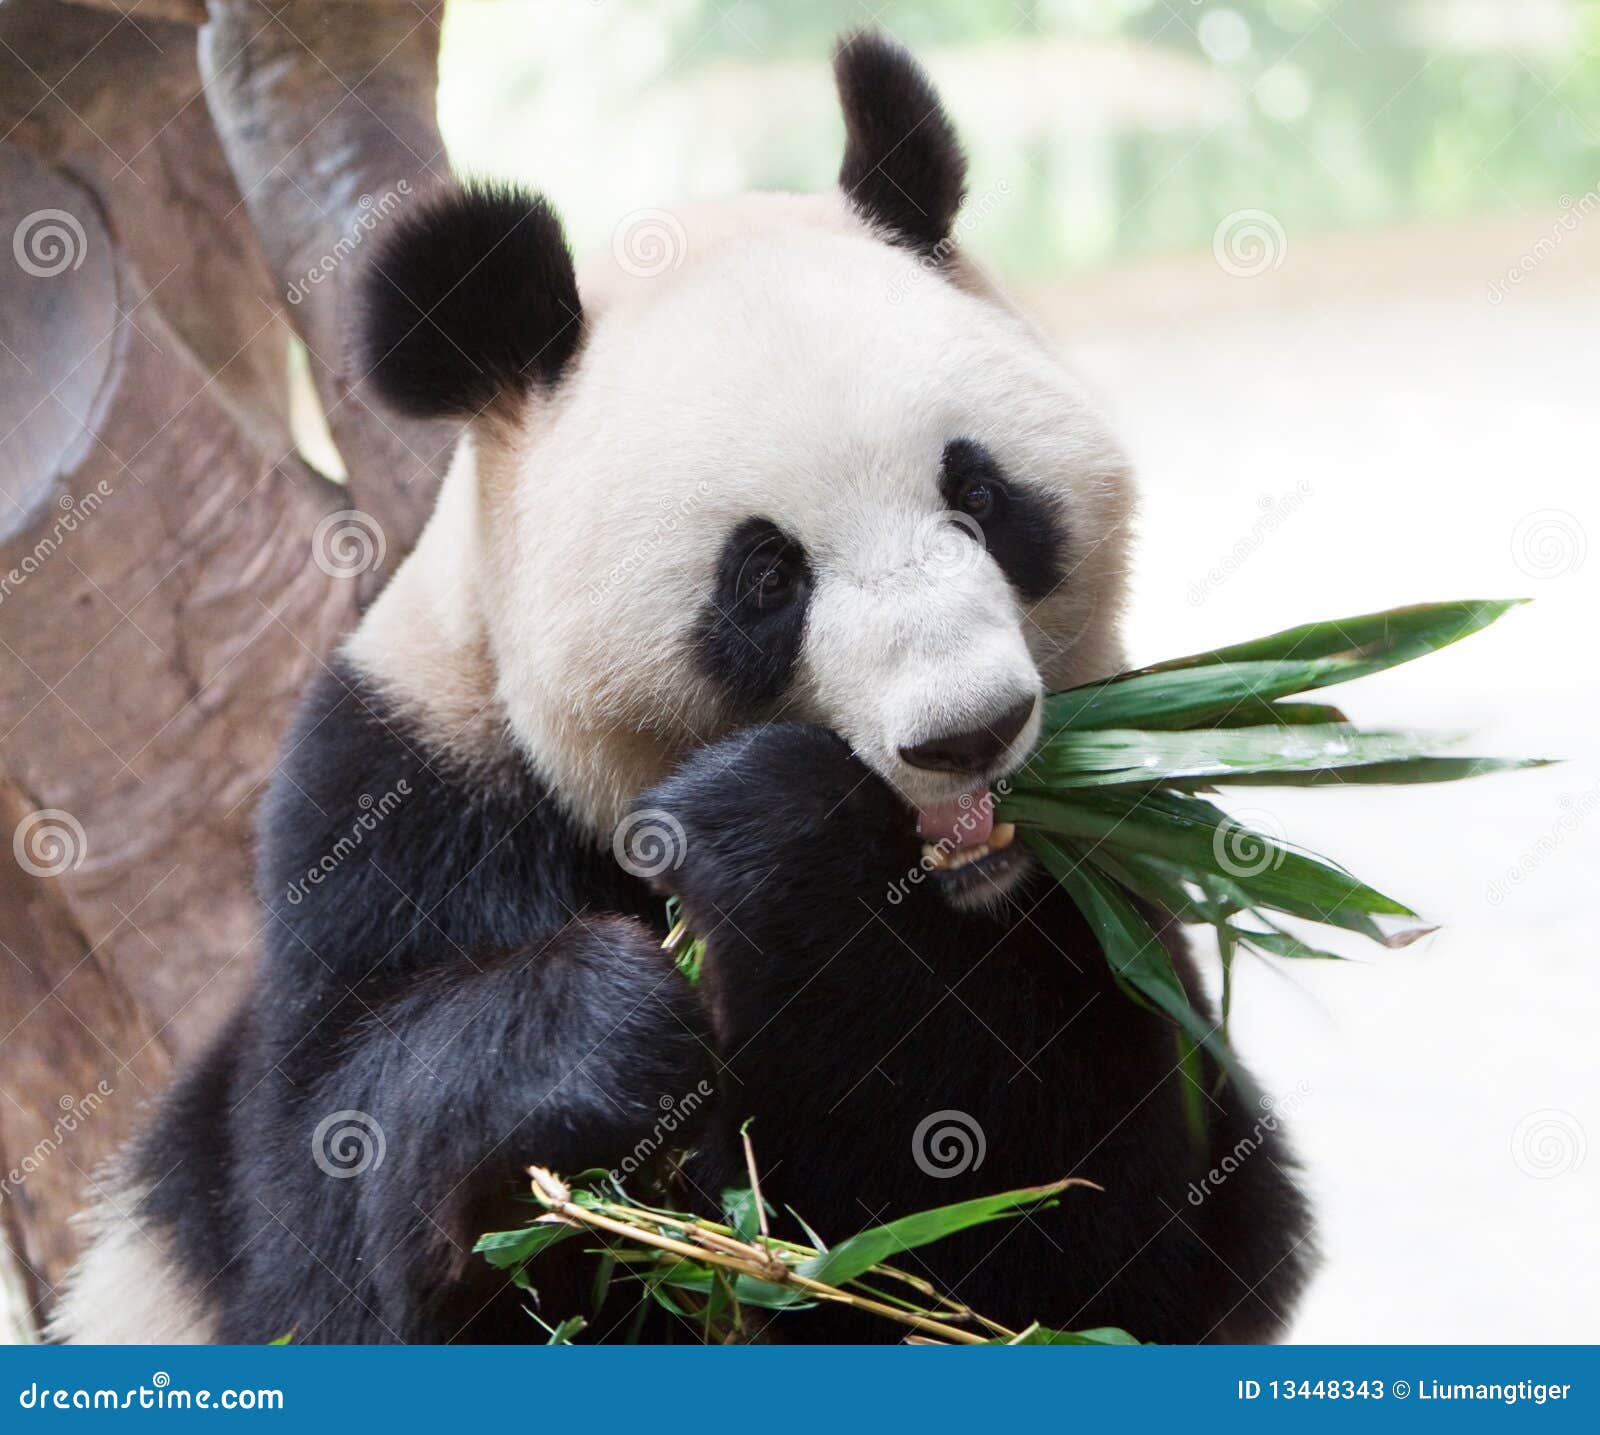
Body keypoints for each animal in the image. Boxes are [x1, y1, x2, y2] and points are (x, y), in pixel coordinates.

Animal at [54, 32, 1311, 1345]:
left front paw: (778, 838)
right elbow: (328, 1229)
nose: (967, 731)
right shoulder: (398, 802)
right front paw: (594, 1038)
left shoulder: (1099, 881)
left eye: (978, 497)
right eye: (764, 577)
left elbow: (1123, 1236)